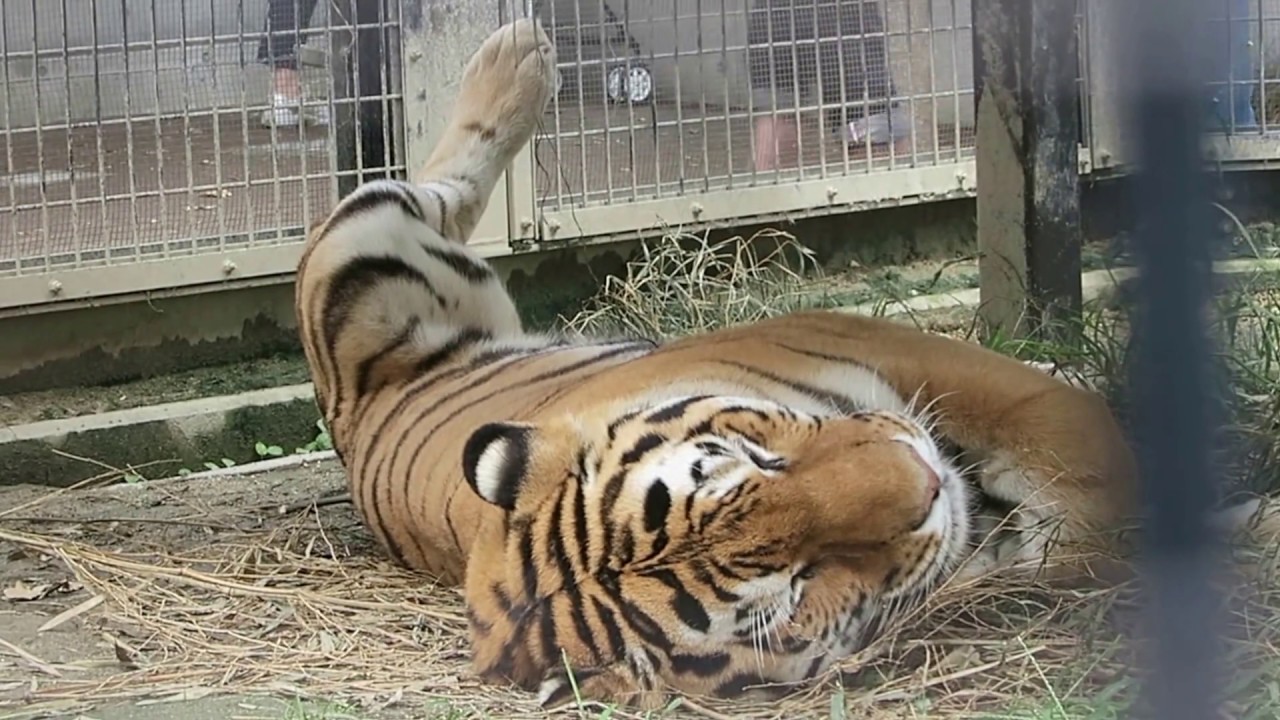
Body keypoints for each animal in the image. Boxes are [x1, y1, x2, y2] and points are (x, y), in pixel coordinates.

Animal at [294, 17, 1140, 710]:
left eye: (751, 459)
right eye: (797, 586)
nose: (927, 481)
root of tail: (355, 415)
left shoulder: (892, 346)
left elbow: (1061, 423)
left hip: (363, 236)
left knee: (444, 180)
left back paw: (518, 50)